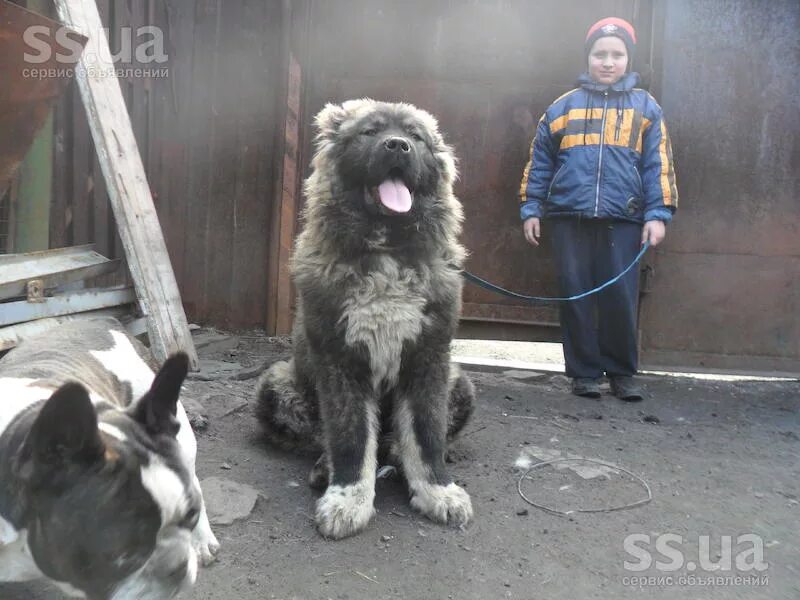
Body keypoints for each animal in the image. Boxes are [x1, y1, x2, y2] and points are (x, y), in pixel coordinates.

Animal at [256, 98, 476, 540]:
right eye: (370, 132)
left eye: (415, 137)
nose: (397, 146)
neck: (387, 251)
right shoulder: (342, 360)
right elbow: (351, 436)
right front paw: (348, 499)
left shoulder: (429, 358)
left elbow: (426, 434)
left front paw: (437, 491)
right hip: (276, 386)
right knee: (323, 436)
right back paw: (326, 468)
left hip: (460, 383)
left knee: (404, 438)